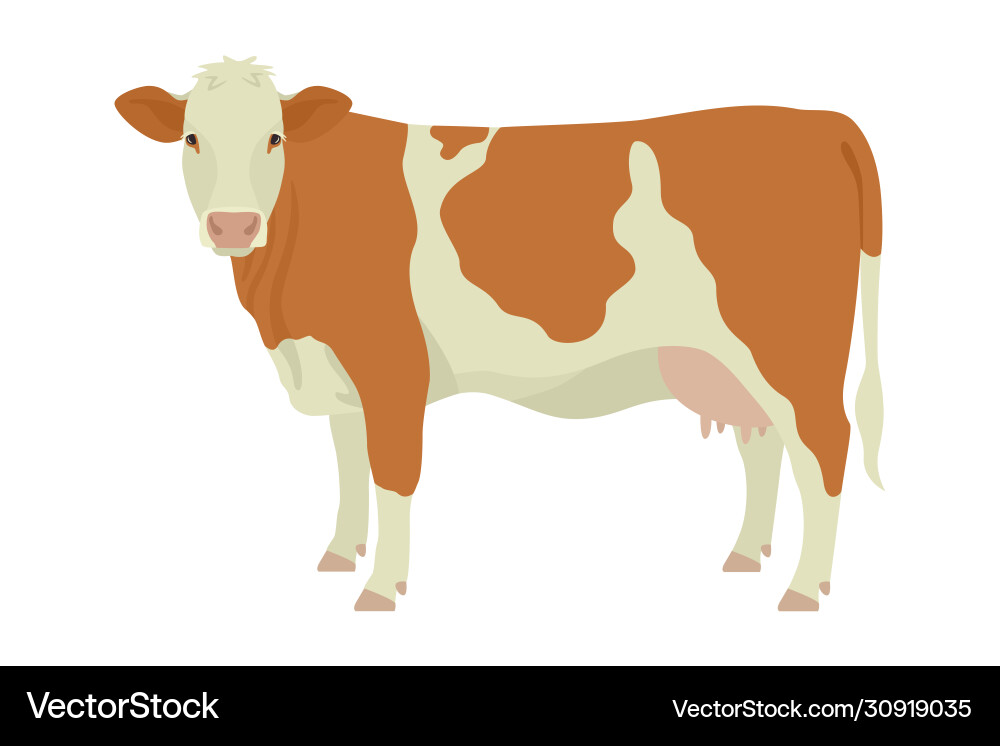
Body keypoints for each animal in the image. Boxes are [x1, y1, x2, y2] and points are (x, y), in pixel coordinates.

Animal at [115, 57, 884, 612]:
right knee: (764, 443)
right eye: (191, 138)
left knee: (823, 445)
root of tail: (825, 120)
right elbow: (349, 461)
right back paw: (748, 555)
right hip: (728, 360)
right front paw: (339, 553)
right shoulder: (339, 367)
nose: (233, 224)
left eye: (274, 138)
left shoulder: (390, 362)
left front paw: (380, 588)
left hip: (792, 349)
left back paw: (804, 590)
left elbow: (393, 472)